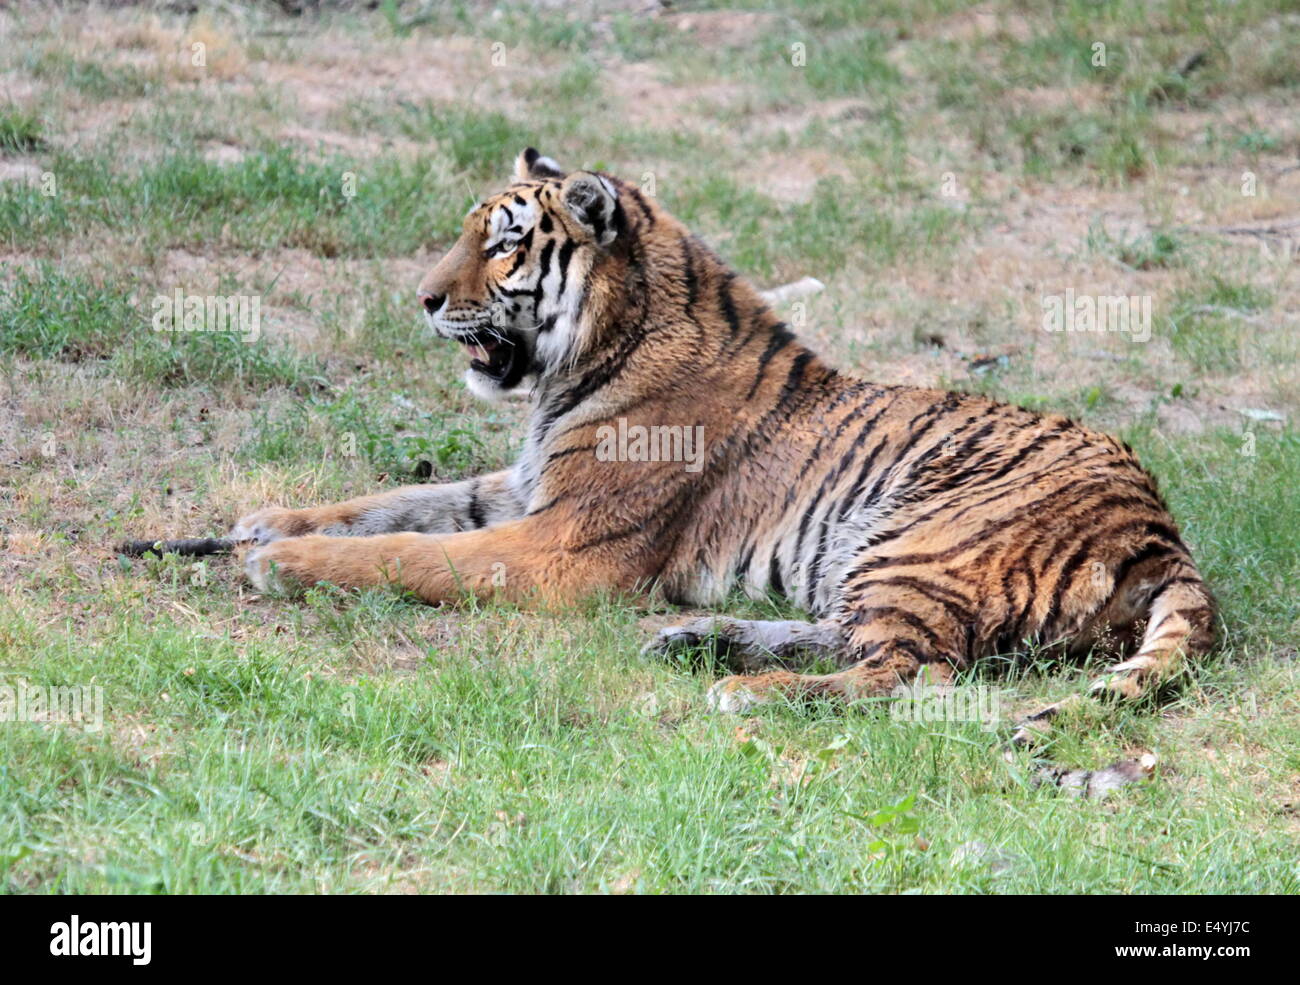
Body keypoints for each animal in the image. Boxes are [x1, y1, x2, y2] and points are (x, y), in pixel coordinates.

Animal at [233, 146, 1216, 735]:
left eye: (504, 246)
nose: (424, 298)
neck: (583, 361)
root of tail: (1161, 528)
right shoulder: (523, 488)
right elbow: (397, 503)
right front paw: (263, 524)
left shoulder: (565, 544)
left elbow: (409, 552)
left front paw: (281, 564)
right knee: (859, 642)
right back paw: (697, 639)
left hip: (919, 536)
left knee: (911, 673)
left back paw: (740, 687)